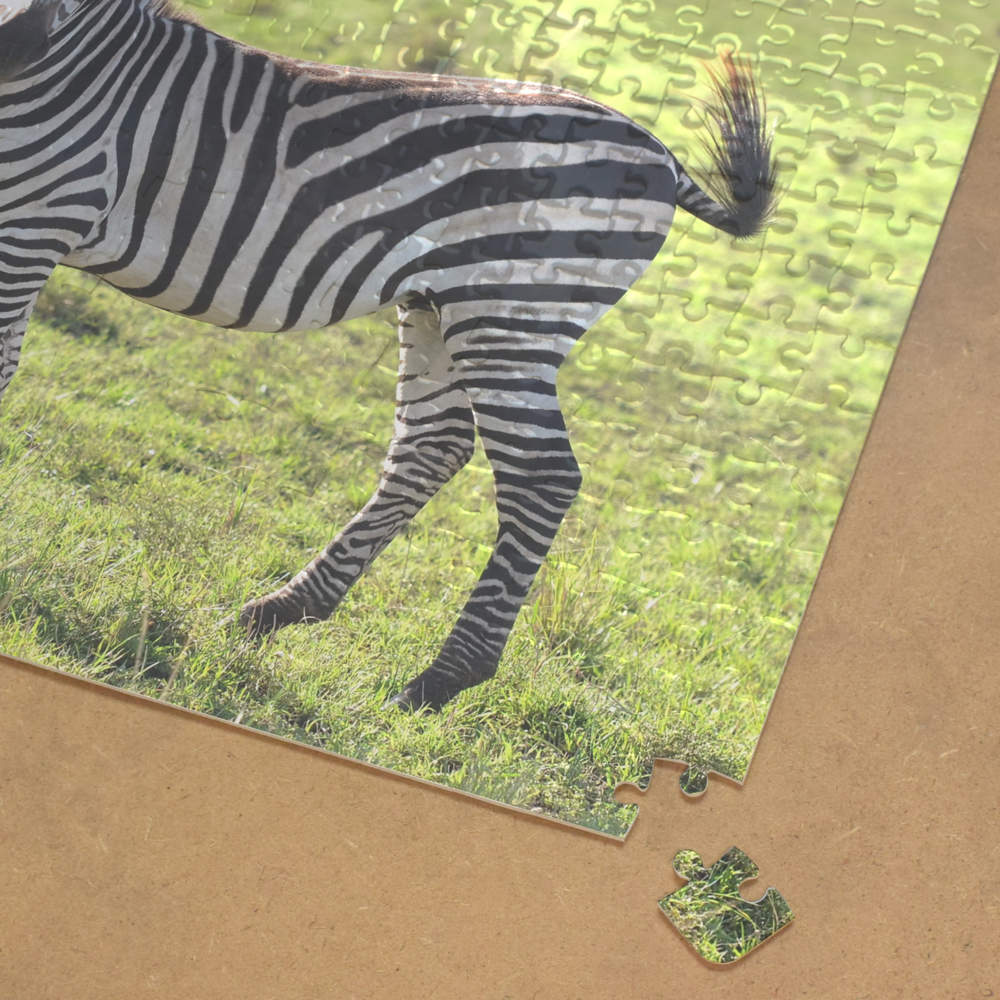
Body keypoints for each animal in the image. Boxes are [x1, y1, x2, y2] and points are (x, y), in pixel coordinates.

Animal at [0, 0, 775, 710]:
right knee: (434, 443)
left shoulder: (39, 217)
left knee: (541, 477)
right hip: (439, 306)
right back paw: (279, 612)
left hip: (513, 312)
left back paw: (440, 680)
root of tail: (660, 154)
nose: (23, 45)